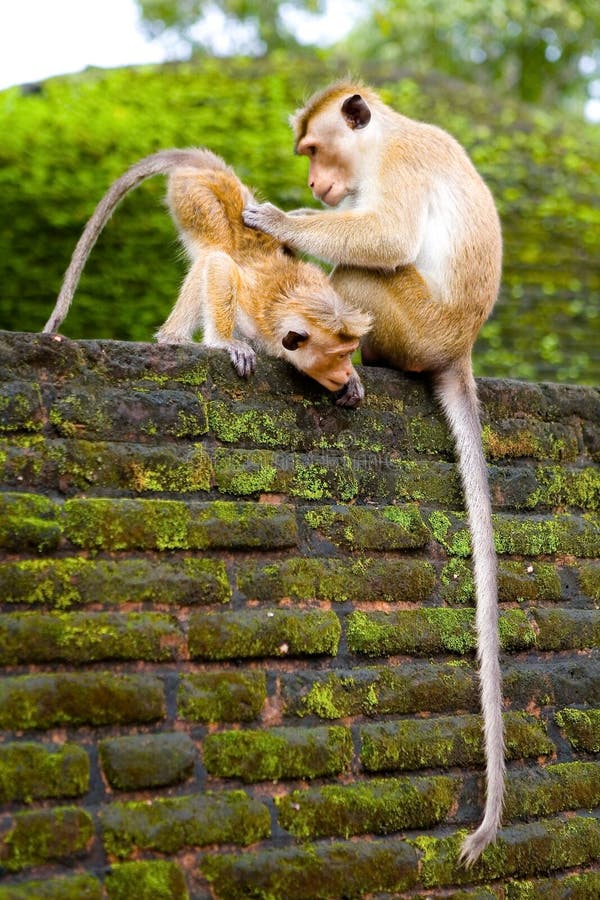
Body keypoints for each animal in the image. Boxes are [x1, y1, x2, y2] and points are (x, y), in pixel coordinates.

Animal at [43, 148, 372, 407]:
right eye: (337, 356)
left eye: (348, 354)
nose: (345, 370)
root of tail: (209, 167)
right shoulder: (256, 314)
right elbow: (218, 266)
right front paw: (224, 342)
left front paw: (354, 379)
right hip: (194, 194)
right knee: (212, 251)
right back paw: (173, 338)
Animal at [243, 82, 504, 865]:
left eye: (313, 149)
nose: (312, 187)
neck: (384, 136)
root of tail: (460, 349)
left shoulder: (398, 167)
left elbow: (385, 238)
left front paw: (280, 220)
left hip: (412, 325)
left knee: (366, 269)